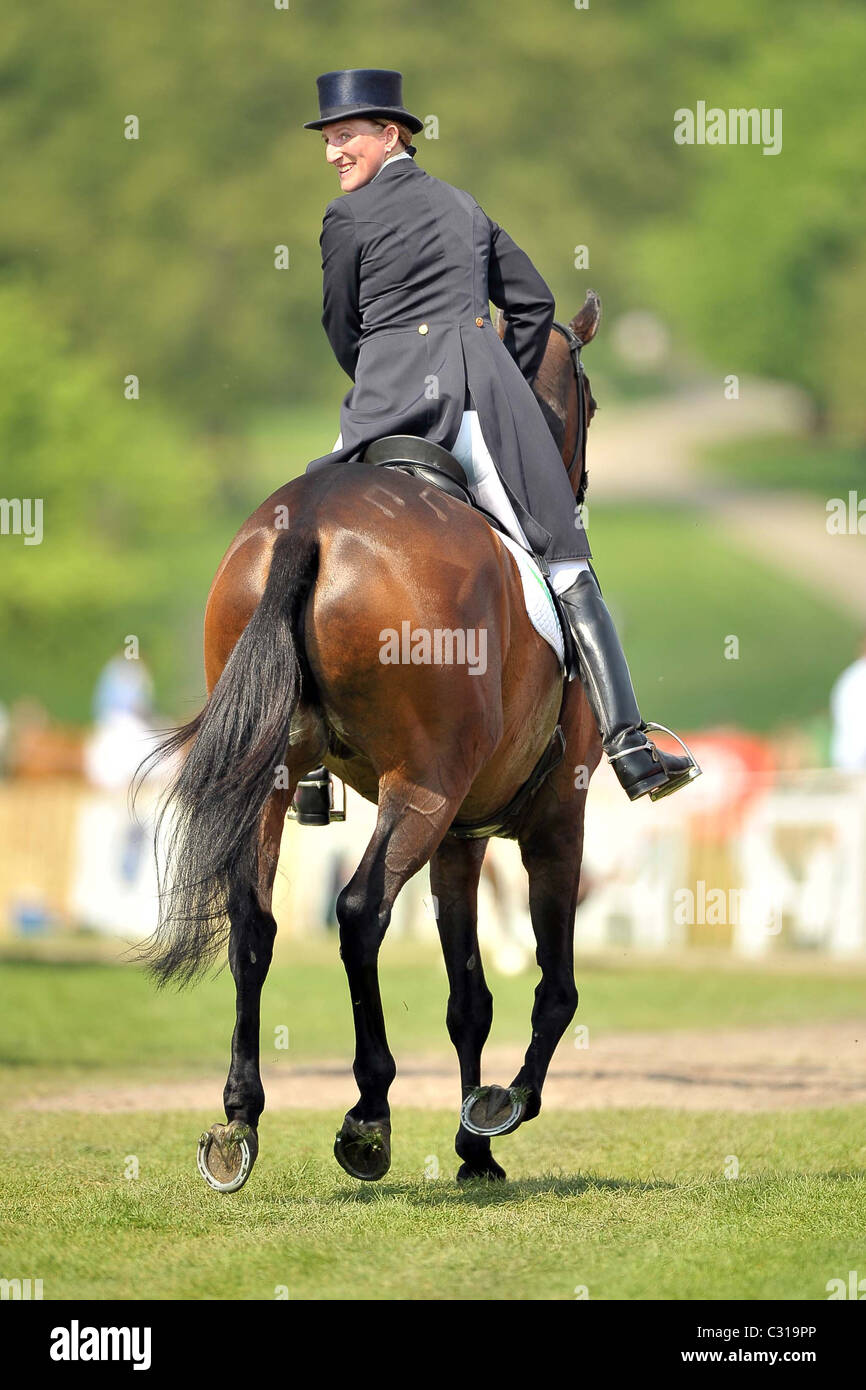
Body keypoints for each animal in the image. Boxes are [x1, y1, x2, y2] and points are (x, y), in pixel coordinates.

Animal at [140, 290, 603, 1190]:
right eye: (592, 405)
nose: (577, 490)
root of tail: (310, 524)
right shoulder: (554, 820)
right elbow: (555, 989)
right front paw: (502, 1108)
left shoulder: (463, 838)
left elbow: (469, 1001)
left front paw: (474, 1150)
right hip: (420, 789)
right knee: (359, 912)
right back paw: (368, 1117)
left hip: (278, 785)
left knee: (253, 922)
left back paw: (240, 1121)